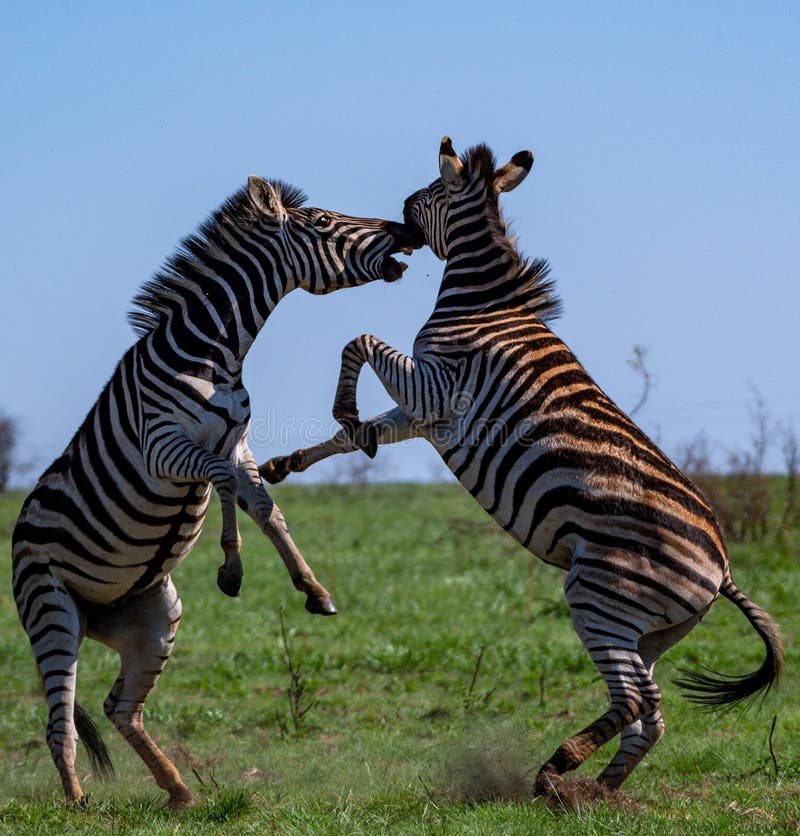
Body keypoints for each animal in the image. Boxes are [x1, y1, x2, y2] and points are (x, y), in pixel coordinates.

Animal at [11, 174, 420, 808]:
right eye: (324, 222)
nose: (407, 230)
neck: (216, 354)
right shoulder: (164, 446)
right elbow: (224, 487)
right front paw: (231, 568)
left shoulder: (238, 443)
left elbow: (266, 508)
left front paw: (313, 589)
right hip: (52, 610)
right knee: (60, 723)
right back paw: (78, 804)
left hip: (155, 618)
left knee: (120, 708)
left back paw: (178, 790)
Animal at [260, 138, 784, 794]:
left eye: (426, 194)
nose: (399, 220)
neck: (484, 303)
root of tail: (722, 568)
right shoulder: (428, 411)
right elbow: (356, 436)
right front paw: (287, 461)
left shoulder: (436, 389)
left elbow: (357, 340)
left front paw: (343, 410)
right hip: (650, 628)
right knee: (650, 716)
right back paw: (595, 792)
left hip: (597, 596)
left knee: (638, 700)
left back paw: (558, 768)